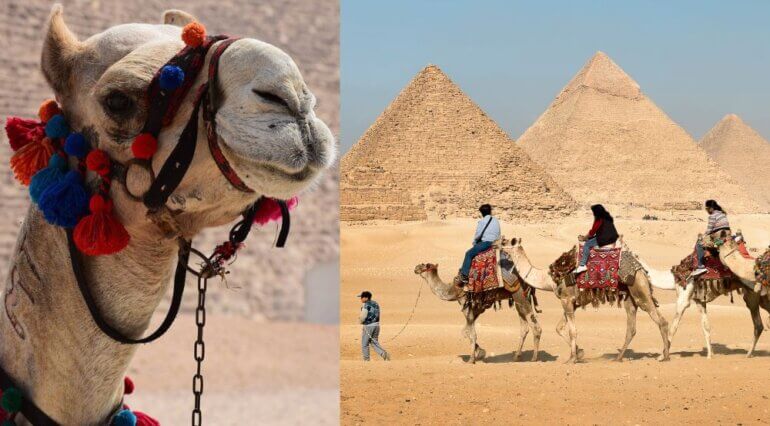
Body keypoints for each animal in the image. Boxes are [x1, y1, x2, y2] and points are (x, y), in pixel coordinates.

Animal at [413, 252, 542, 363]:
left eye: (425, 265)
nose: (415, 267)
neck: (454, 290)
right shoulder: (477, 308)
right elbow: (465, 331)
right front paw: (480, 352)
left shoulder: (466, 305)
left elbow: (471, 334)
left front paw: (472, 358)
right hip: (519, 299)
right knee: (524, 327)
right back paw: (516, 357)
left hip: (519, 294)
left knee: (535, 326)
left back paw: (534, 358)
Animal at [504, 239, 670, 363]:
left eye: (507, 242)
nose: (499, 244)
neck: (549, 279)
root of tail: (641, 269)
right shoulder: (572, 302)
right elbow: (560, 328)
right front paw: (578, 353)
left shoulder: (566, 299)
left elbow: (572, 330)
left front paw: (572, 359)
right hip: (630, 296)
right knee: (631, 327)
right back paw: (619, 357)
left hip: (640, 290)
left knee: (660, 320)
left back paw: (664, 356)